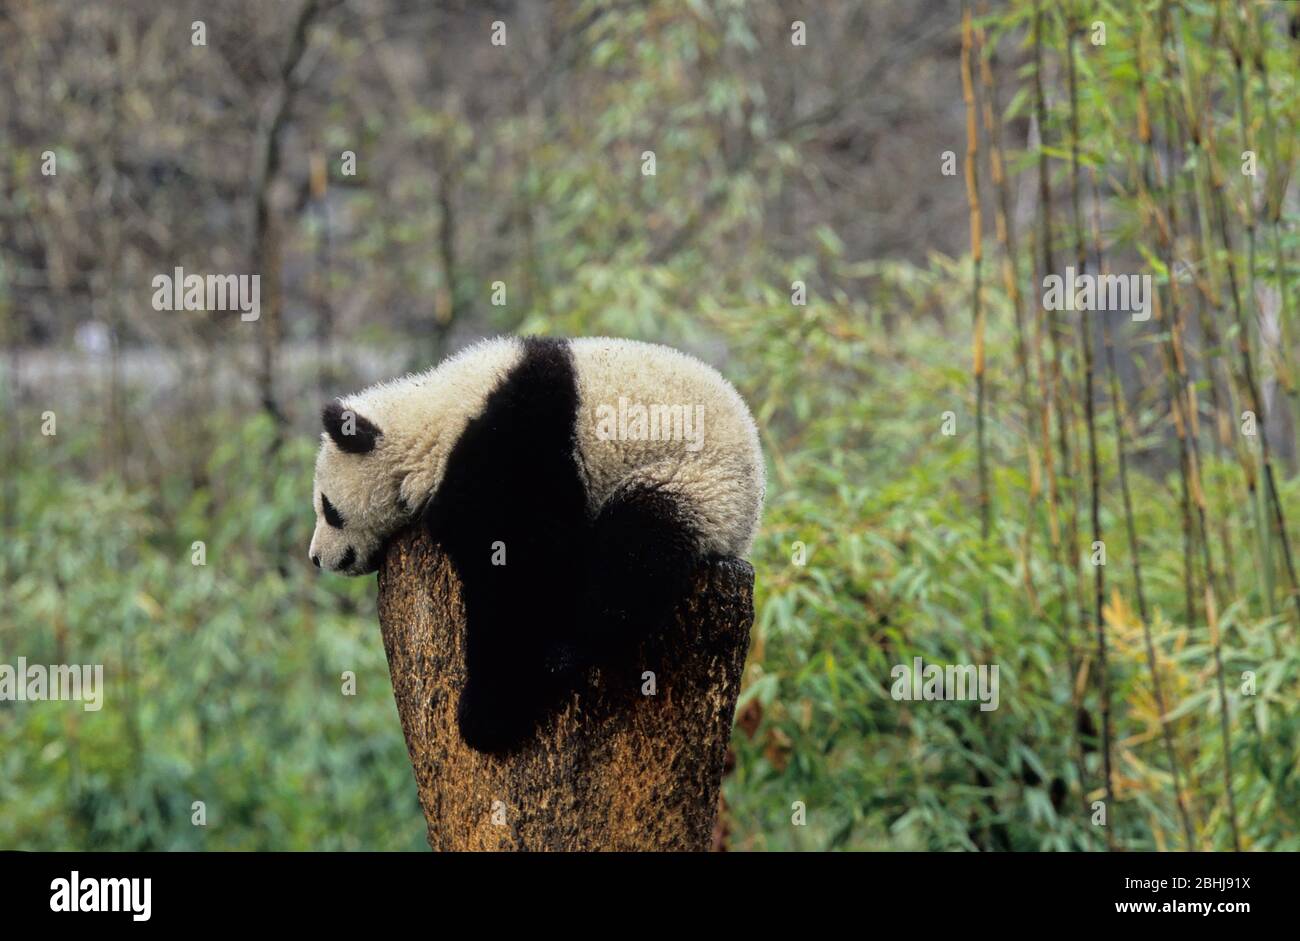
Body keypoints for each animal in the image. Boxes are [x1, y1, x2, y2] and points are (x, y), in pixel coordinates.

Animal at [308, 335, 764, 752]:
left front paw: (487, 715)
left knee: (634, 556)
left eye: (329, 509)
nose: (316, 558)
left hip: (692, 481)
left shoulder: (512, 446)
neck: (436, 419)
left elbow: (520, 571)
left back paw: (566, 650)